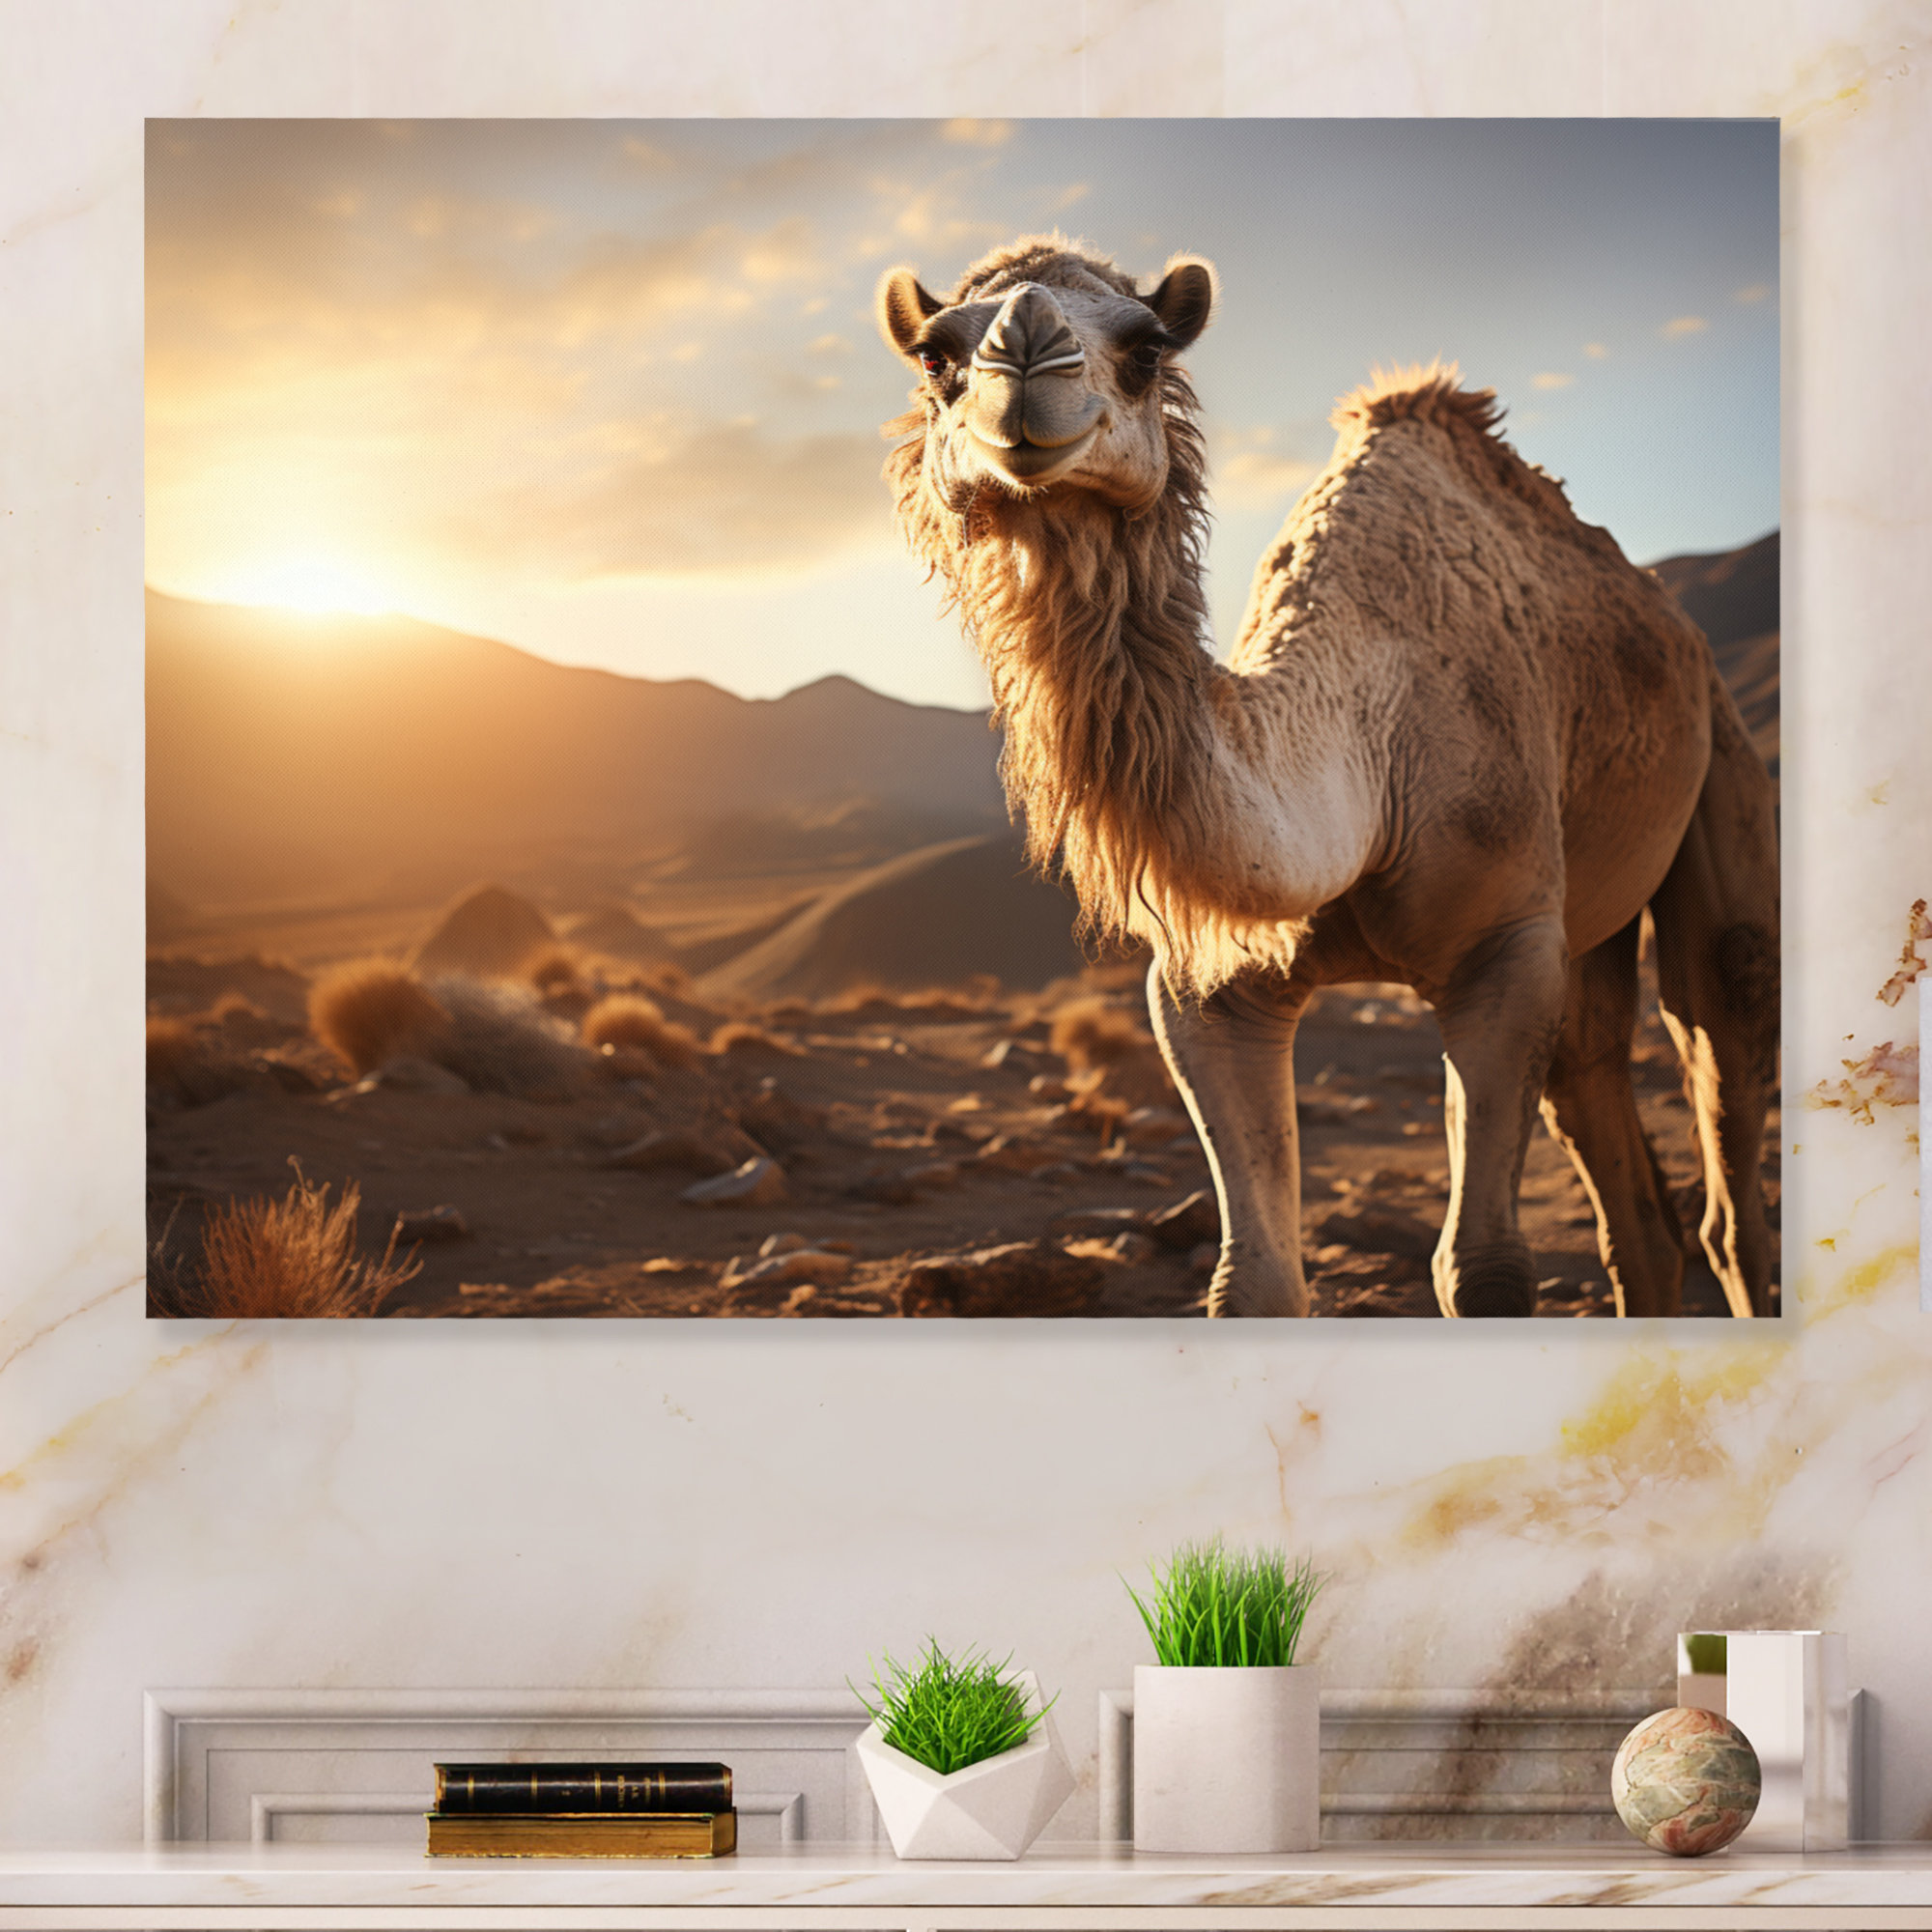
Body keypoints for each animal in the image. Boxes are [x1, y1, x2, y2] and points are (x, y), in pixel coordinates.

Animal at [875, 235, 1778, 1319]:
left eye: (1144, 347)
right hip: (1590, 919)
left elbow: (1481, 1270)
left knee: (1726, 1036)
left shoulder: (1502, 946)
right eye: (934, 354)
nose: (1024, 360)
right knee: (1606, 1108)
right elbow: (1249, 1280)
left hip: (1721, 768)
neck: (1368, 769)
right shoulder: (1205, 988)